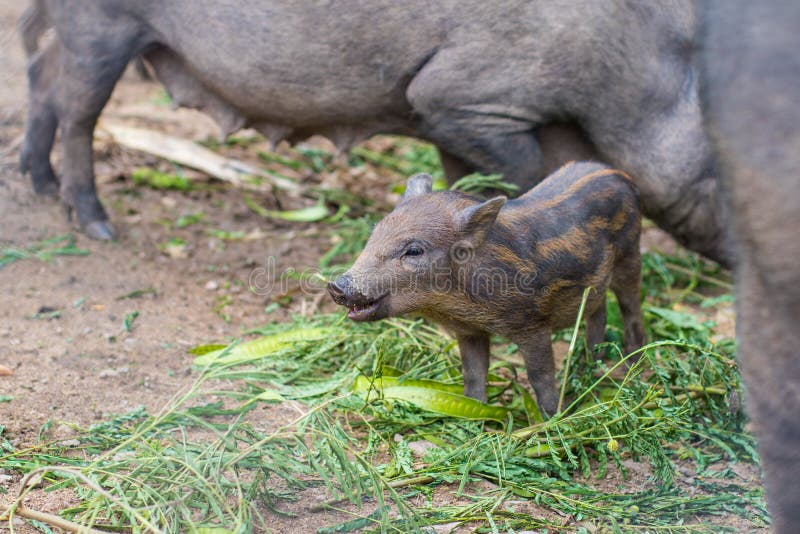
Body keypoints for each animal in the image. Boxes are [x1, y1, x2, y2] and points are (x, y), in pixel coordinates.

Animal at [19, 0, 732, 266]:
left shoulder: (458, 122)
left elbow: (468, 185)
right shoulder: (463, 99)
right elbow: (521, 180)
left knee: (41, 78)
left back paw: (35, 187)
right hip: (100, 25)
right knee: (78, 111)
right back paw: (96, 226)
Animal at [328, 161, 646, 415]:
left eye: (414, 250)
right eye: (375, 232)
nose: (336, 285)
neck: (459, 305)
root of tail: (621, 174)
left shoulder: (533, 324)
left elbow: (540, 374)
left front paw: (553, 417)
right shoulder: (470, 330)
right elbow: (473, 371)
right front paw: (474, 411)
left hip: (631, 256)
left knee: (631, 308)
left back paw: (634, 363)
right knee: (598, 312)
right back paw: (590, 364)